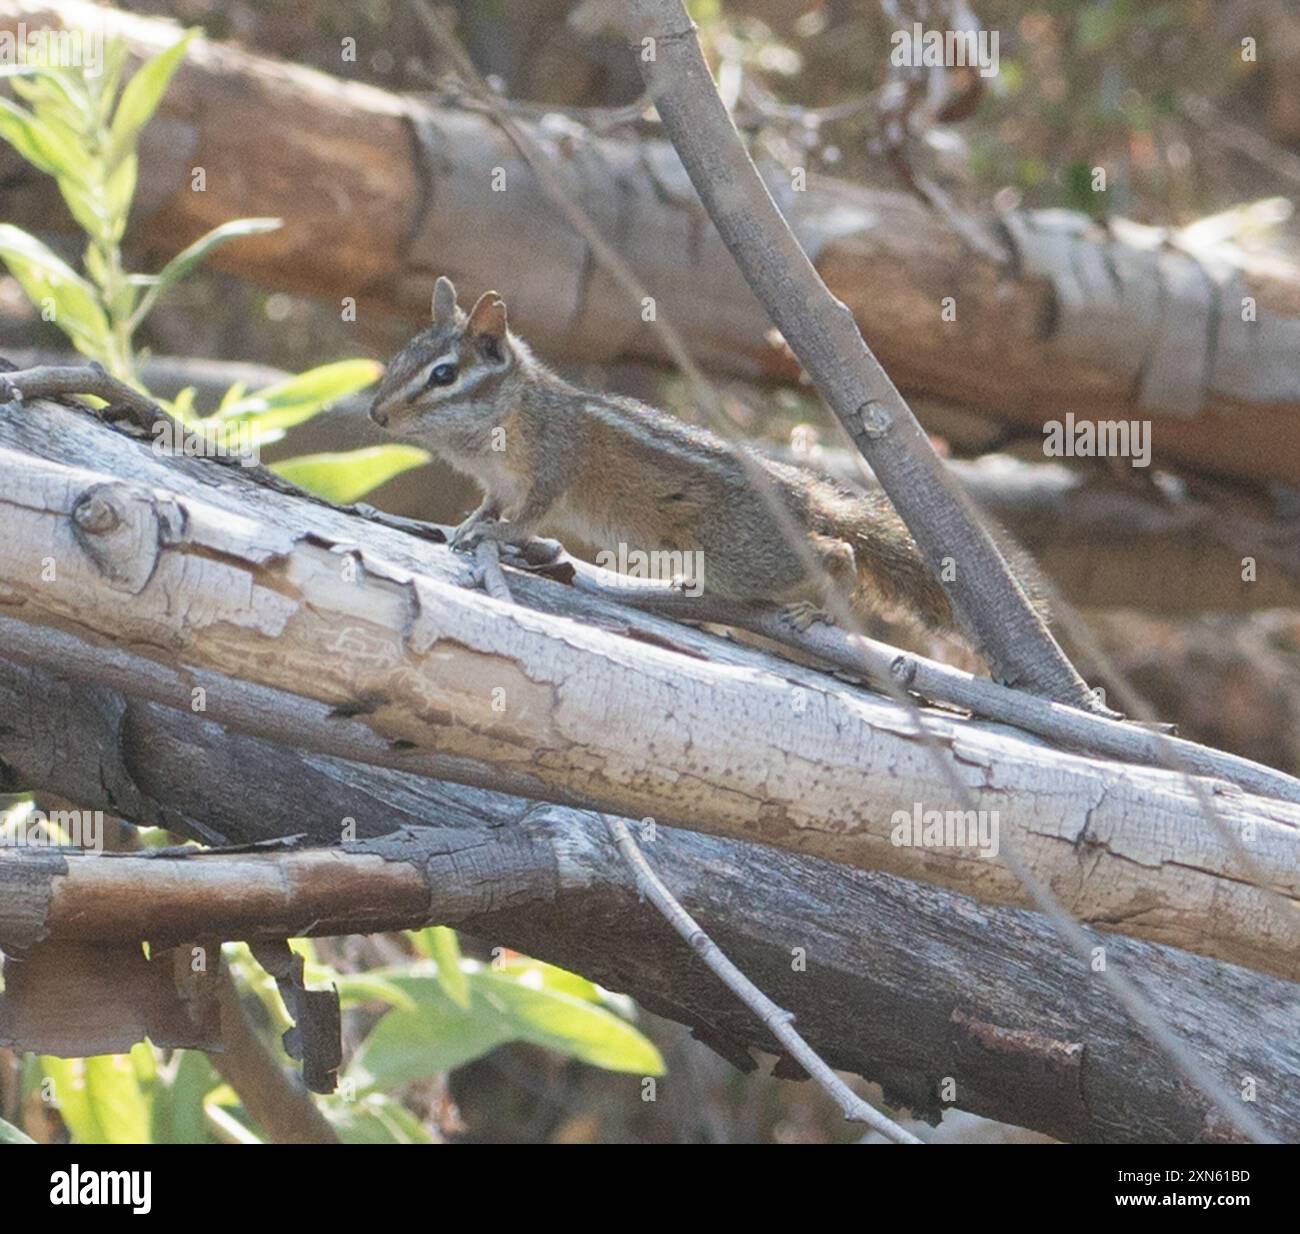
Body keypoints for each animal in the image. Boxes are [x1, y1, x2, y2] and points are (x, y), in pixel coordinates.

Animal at [368, 276, 1022, 641]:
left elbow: (530, 516)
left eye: (443, 375)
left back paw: (821, 611)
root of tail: (804, 498)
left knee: (837, 550)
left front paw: (497, 536)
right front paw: (468, 527)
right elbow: (487, 505)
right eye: (401, 357)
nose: (376, 414)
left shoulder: (552, 466)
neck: (495, 428)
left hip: (743, 555)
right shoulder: (497, 483)